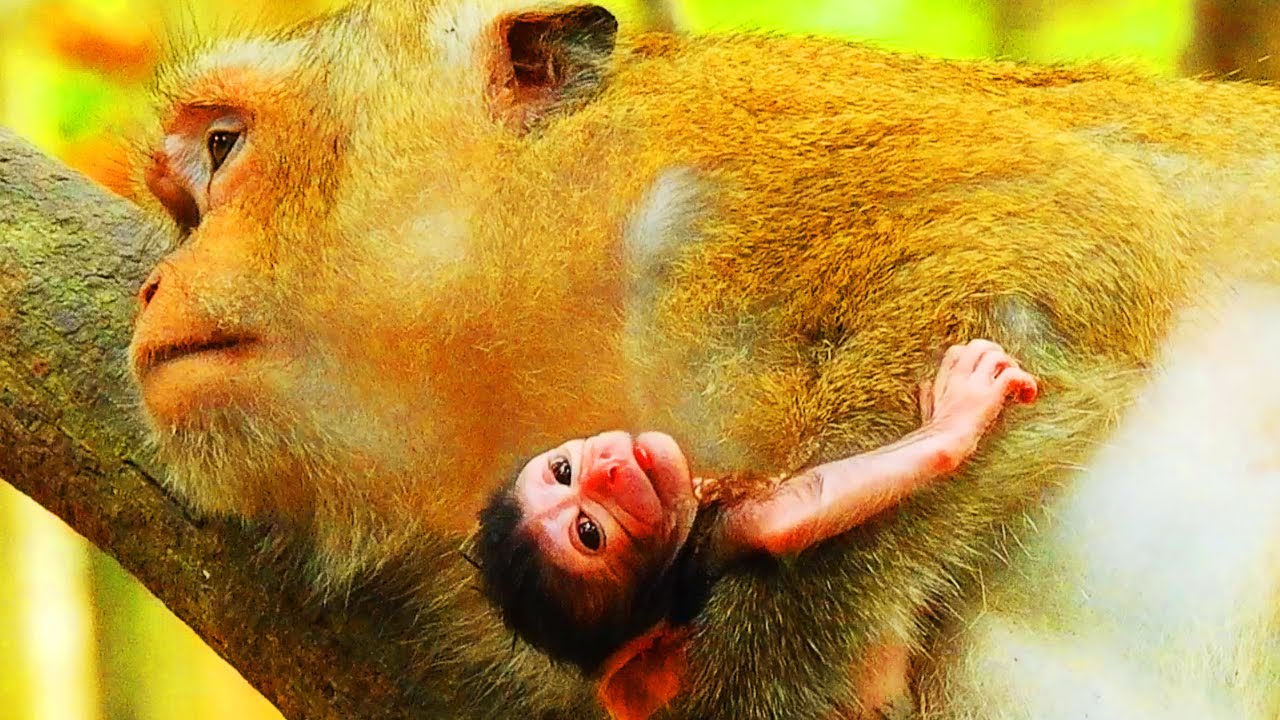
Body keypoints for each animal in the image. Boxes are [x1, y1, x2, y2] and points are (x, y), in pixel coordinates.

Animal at [476, 340, 1038, 720]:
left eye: (563, 471)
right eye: (589, 533)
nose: (608, 468)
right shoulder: (722, 538)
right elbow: (795, 514)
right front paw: (956, 419)